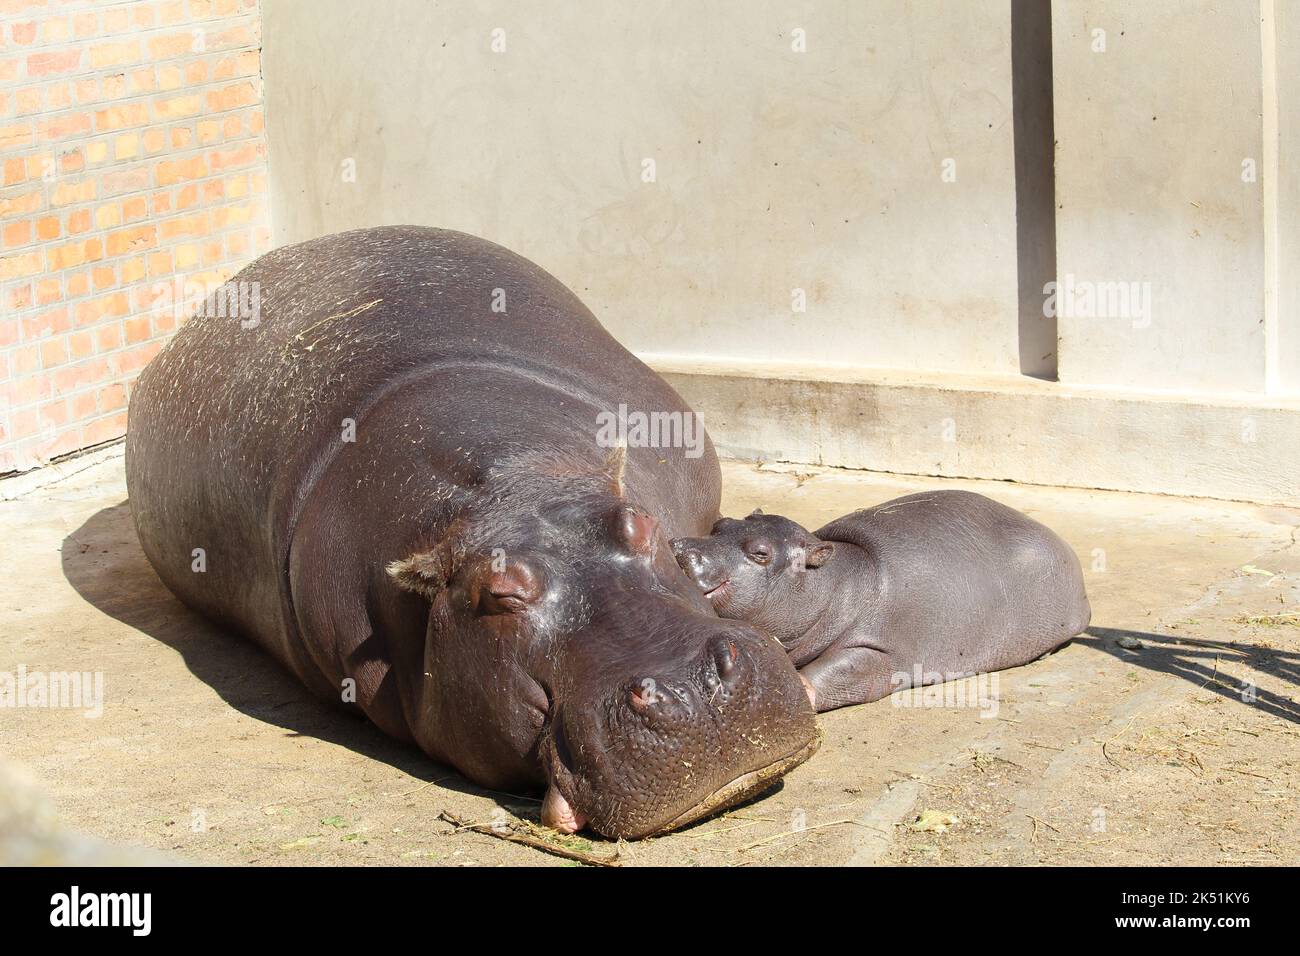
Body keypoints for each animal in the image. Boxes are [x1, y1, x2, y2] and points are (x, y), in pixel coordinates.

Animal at [672, 491, 1091, 711]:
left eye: (760, 553)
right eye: (720, 524)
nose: (681, 548)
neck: (839, 583)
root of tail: (1065, 547)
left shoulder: (880, 651)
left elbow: (841, 671)